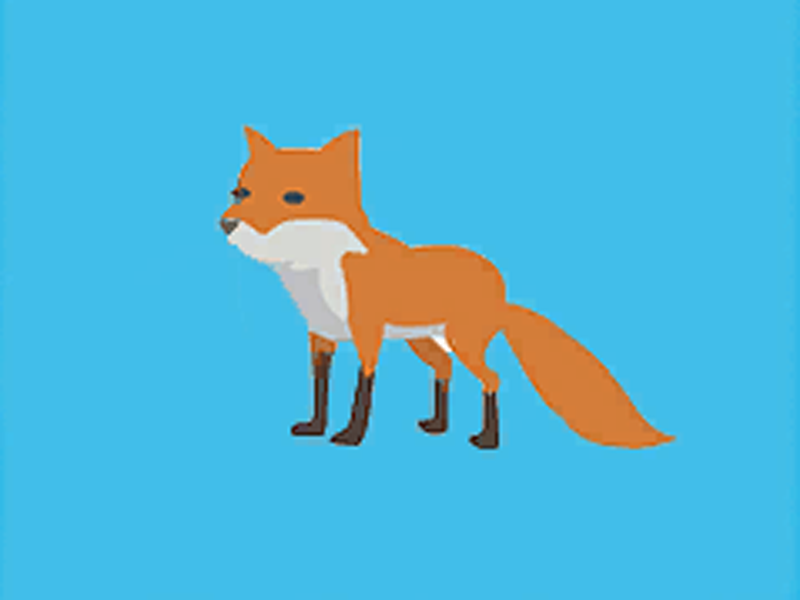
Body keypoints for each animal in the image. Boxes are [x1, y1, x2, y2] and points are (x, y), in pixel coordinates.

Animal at [220, 127, 674, 450]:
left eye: (294, 197)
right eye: (240, 192)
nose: (227, 224)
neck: (315, 272)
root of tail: (502, 290)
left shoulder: (368, 336)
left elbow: (362, 389)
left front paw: (351, 436)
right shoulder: (321, 336)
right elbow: (320, 388)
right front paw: (315, 427)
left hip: (463, 341)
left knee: (491, 378)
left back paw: (488, 440)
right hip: (425, 341)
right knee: (445, 369)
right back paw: (438, 425)